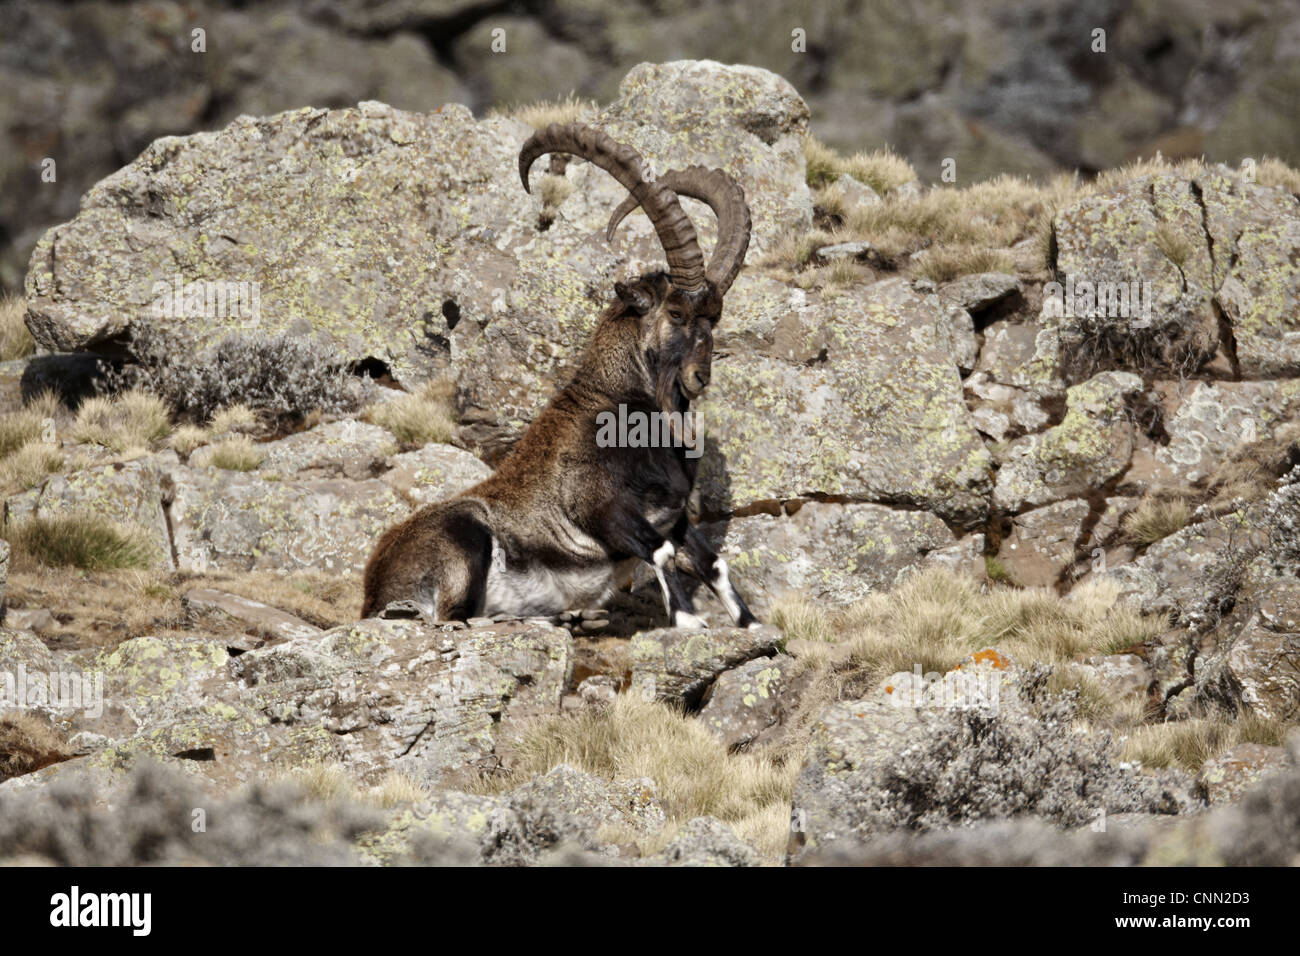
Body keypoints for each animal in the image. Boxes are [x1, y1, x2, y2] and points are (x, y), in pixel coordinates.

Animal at [361, 123, 759, 630]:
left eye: (715, 318)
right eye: (675, 312)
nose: (699, 377)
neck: (625, 412)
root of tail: (372, 590)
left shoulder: (673, 516)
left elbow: (711, 561)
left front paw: (750, 621)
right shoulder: (602, 509)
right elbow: (661, 553)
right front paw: (688, 620)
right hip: (463, 538)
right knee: (452, 617)